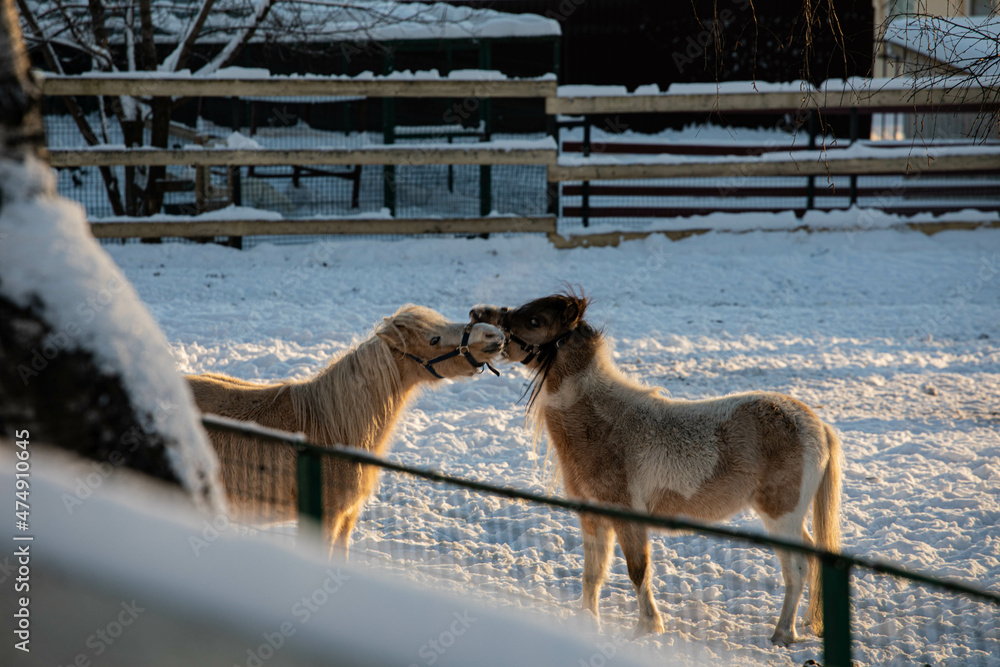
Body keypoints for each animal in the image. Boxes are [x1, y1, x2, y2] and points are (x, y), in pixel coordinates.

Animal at [470, 292, 842, 646]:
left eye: (535, 320)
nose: (478, 315)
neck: (603, 421)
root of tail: (817, 425)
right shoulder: (591, 516)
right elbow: (593, 573)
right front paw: (588, 622)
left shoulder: (627, 517)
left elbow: (638, 571)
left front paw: (646, 628)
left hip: (781, 517)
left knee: (796, 569)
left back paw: (783, 634)